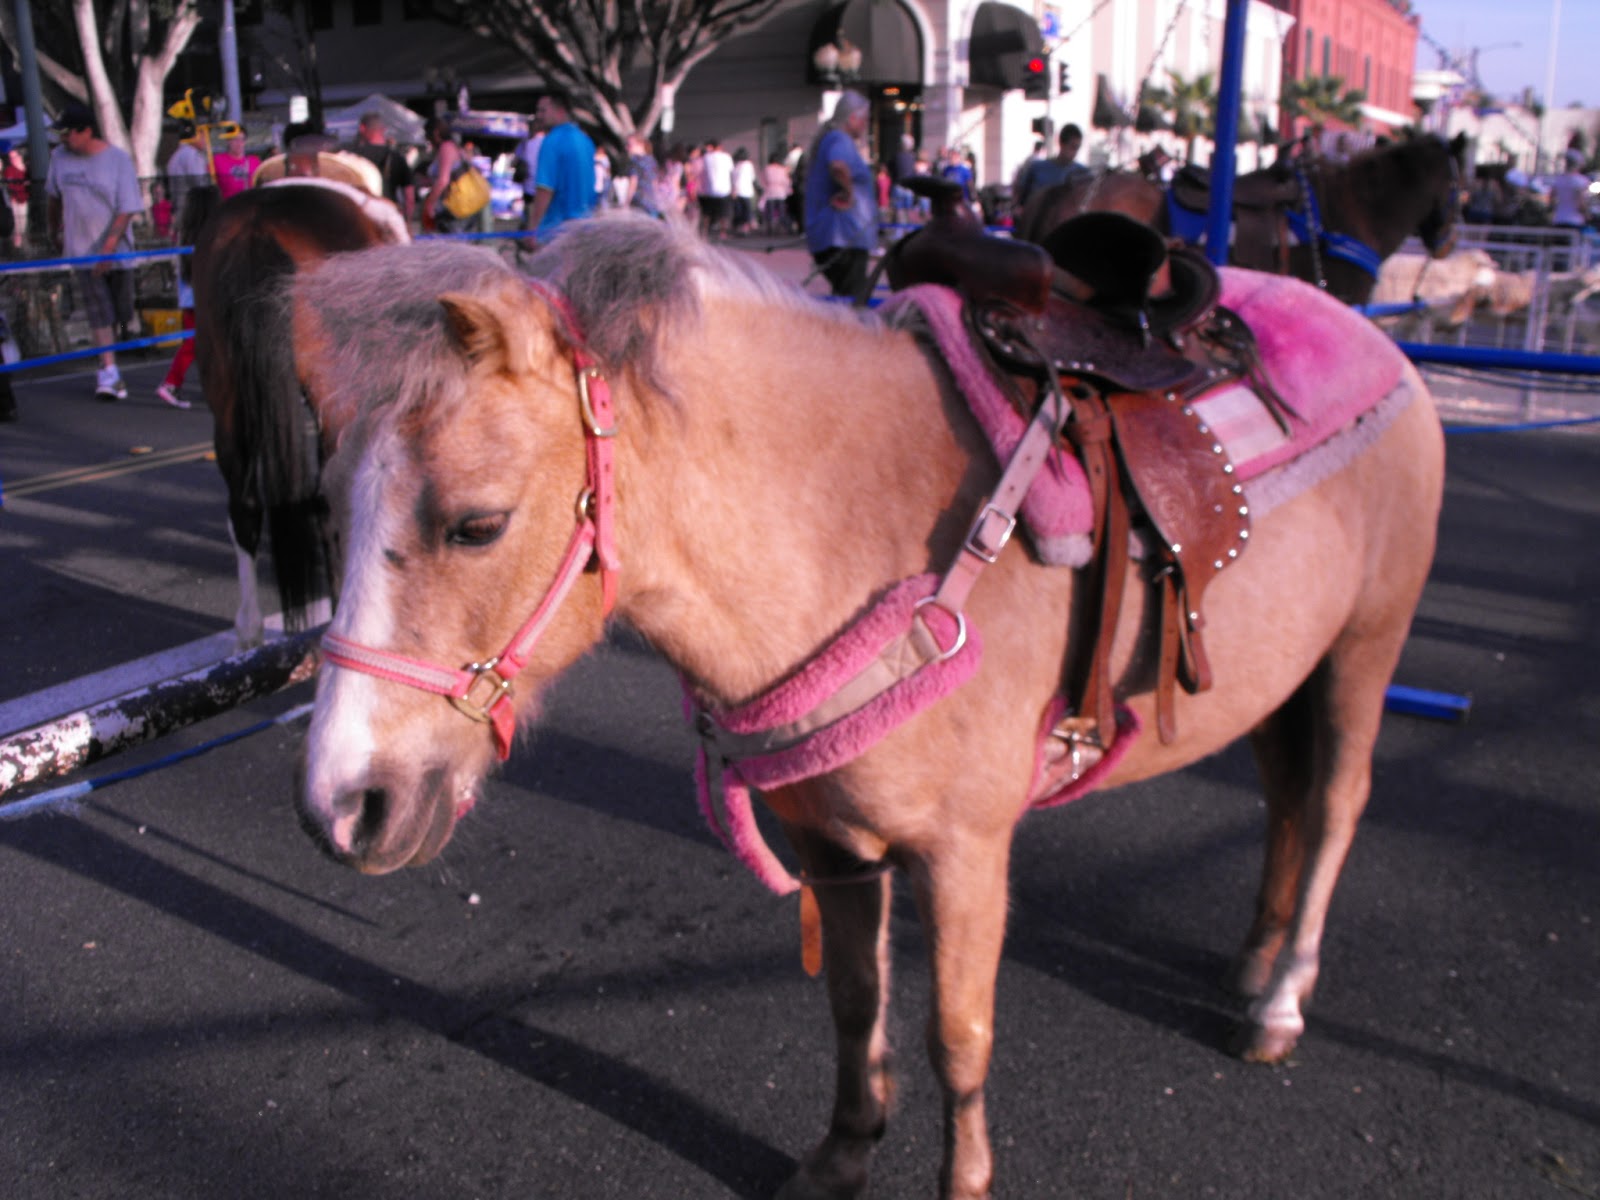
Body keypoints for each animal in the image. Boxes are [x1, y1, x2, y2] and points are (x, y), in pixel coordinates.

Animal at [288, 215, 1444, 1199]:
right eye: (326, 507)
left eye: (476, 525)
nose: (342, 807)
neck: (855, 531)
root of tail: (1376, 340)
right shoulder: (831, 843)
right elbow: (854, 1004)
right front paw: (842, 1157)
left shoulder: (969, 850)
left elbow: (958, 1036)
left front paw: (963, 1183)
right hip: (1278, 677)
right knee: (1286, 799)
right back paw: (1253, 958)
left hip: (1363, 648)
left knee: (1334, 806)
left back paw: (1280, 997)